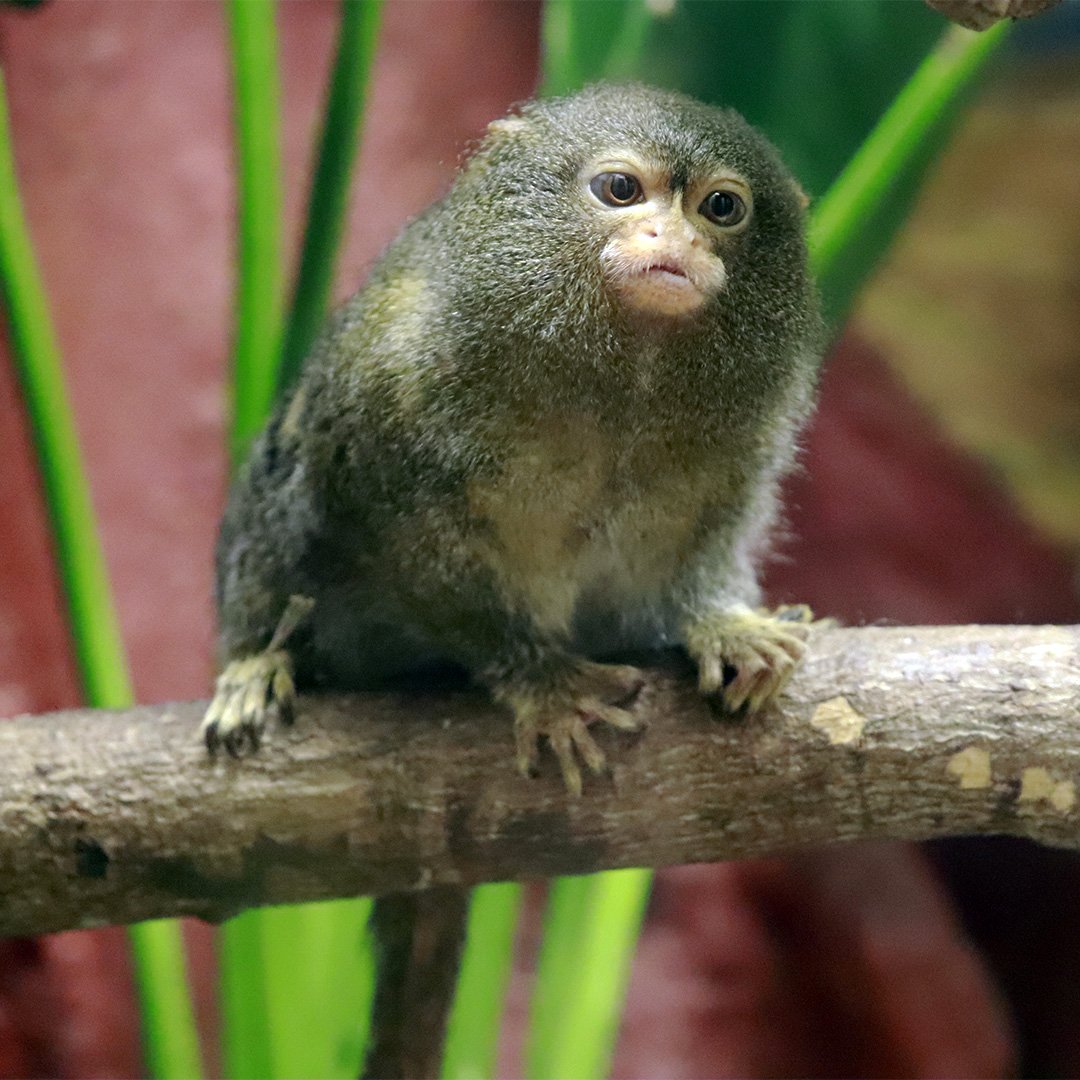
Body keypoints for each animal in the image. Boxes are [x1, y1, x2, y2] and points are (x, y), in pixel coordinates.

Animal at [201, 82, 823, 1078]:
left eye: (722, 207)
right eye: (620, 189)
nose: (673, 239)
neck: (621, 381)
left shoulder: (740, 449)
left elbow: (700, 557)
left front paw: (723, 626)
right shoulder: (391, 389)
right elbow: (412, 550)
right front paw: (543, 683)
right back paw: (259, 662)